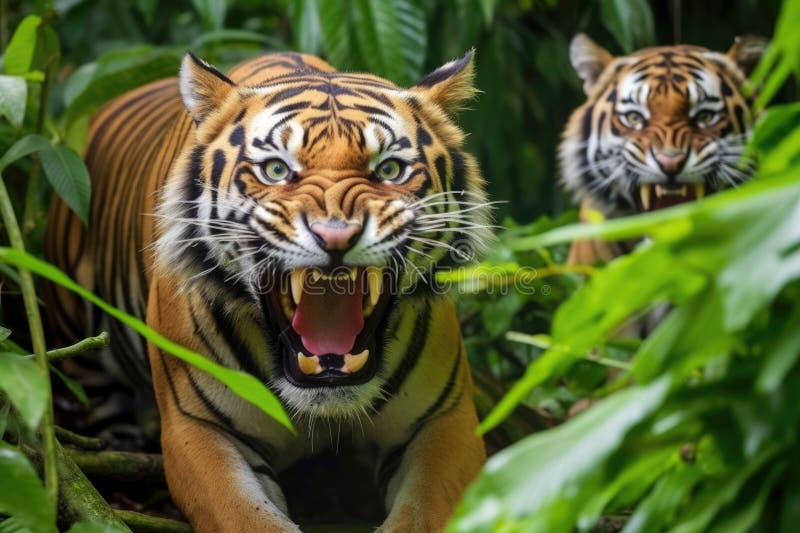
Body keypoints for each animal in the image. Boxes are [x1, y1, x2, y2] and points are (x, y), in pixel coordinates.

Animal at [45, 50, 492, 532]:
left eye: (389, 169)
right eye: (276, 169)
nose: (336, 235)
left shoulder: (444, 423)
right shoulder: (199, 430)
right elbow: (248, 517)